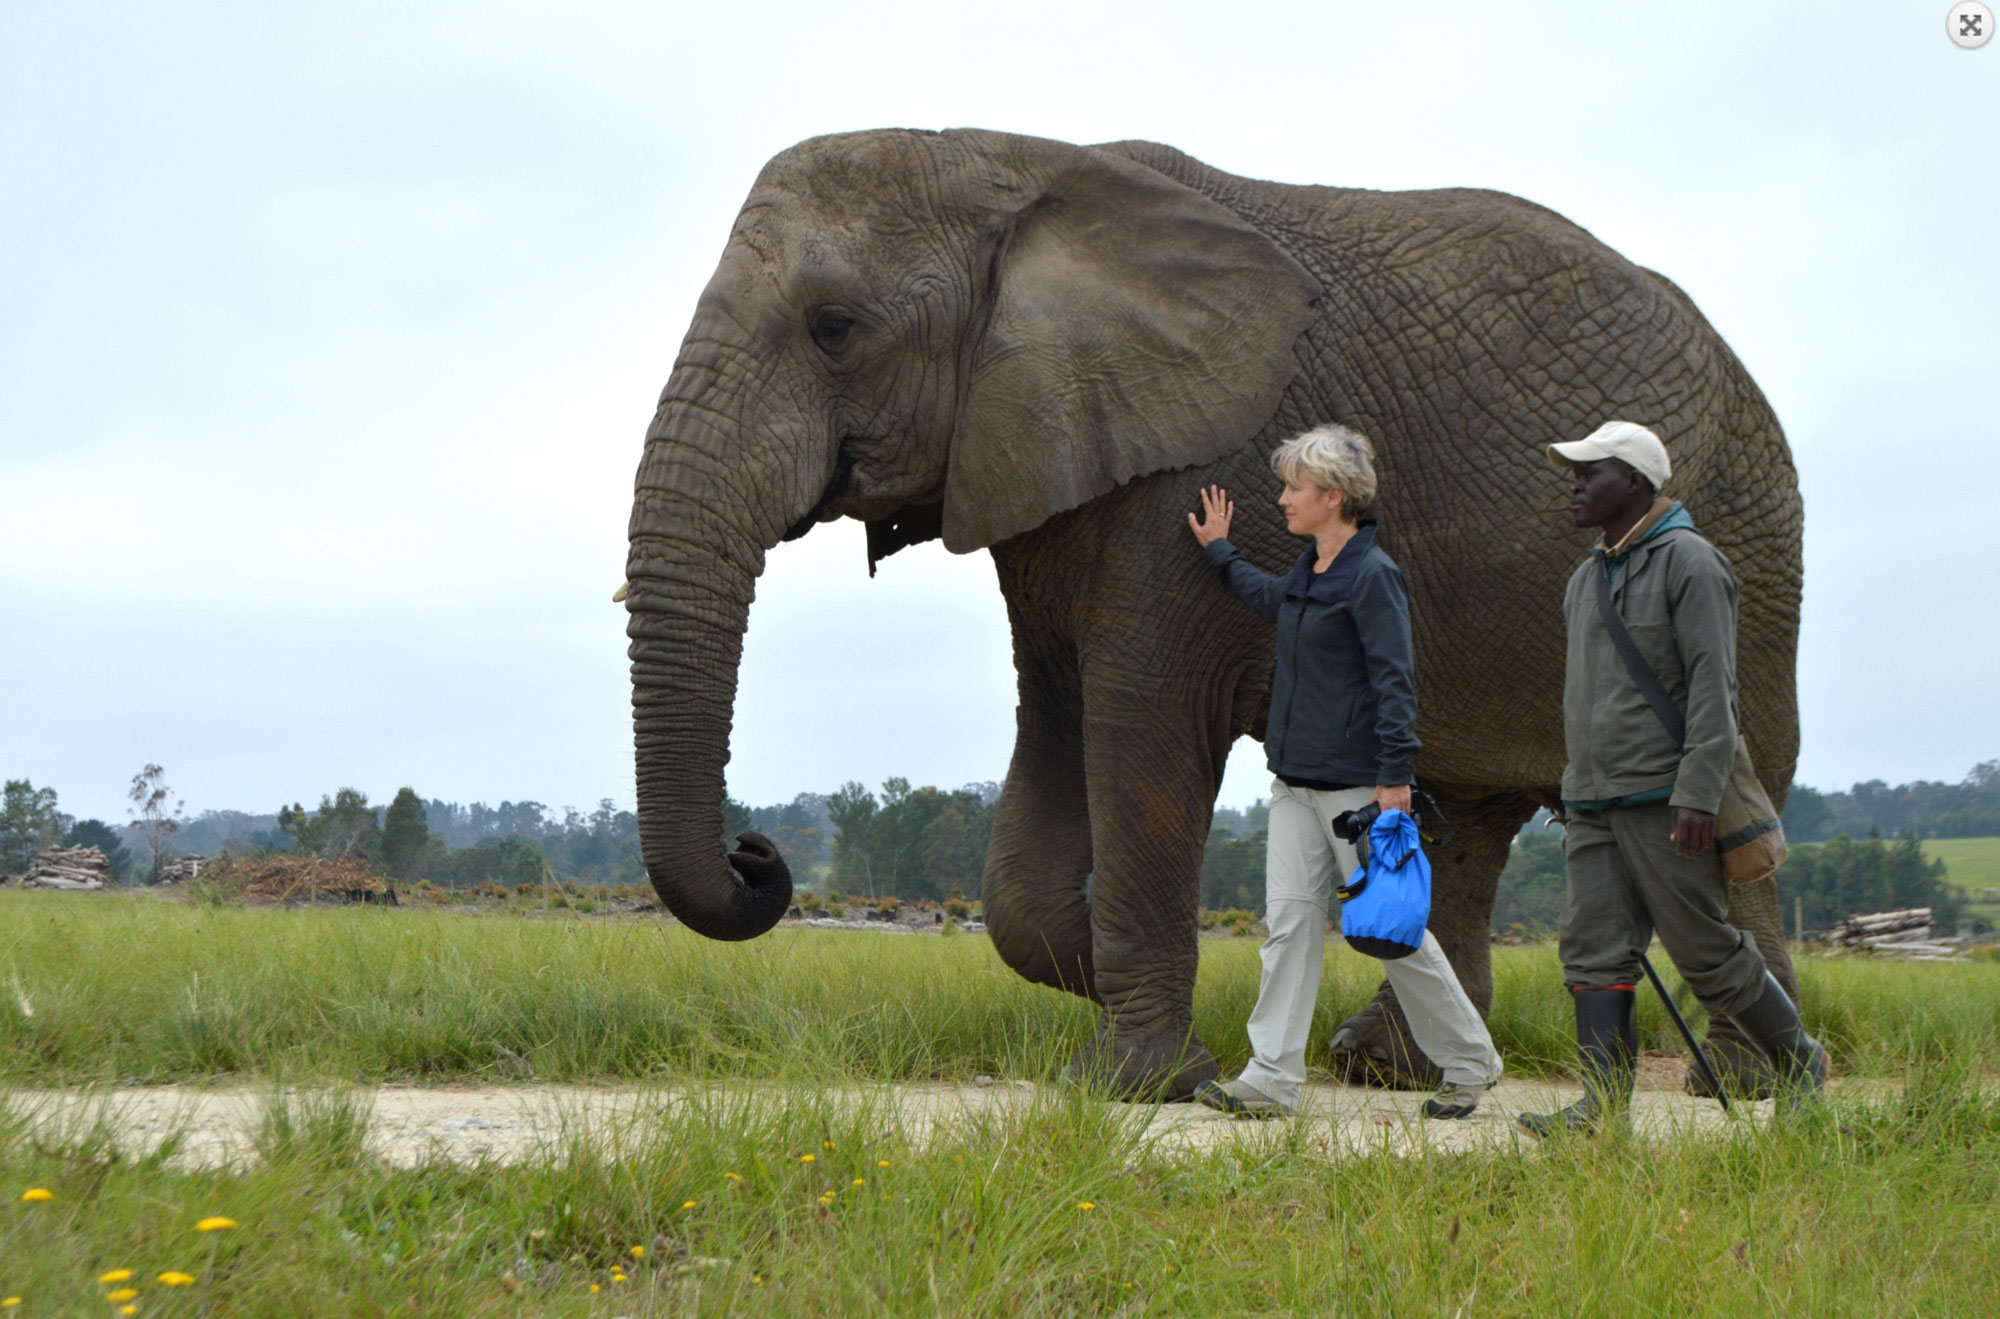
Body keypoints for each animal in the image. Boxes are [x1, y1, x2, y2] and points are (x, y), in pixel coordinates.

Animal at [624, 128, 1804, 1101]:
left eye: (833, 328)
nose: (756, 851)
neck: (1011, 164)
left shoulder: (1186, 468)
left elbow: (1141, 728)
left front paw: (1136, 1084)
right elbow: (1046, 765)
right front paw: (1126, 1007)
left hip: (1747, 537)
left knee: (1728, 796)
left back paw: (1748, 1079)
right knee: (1463, 817)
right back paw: (1392, 1066)